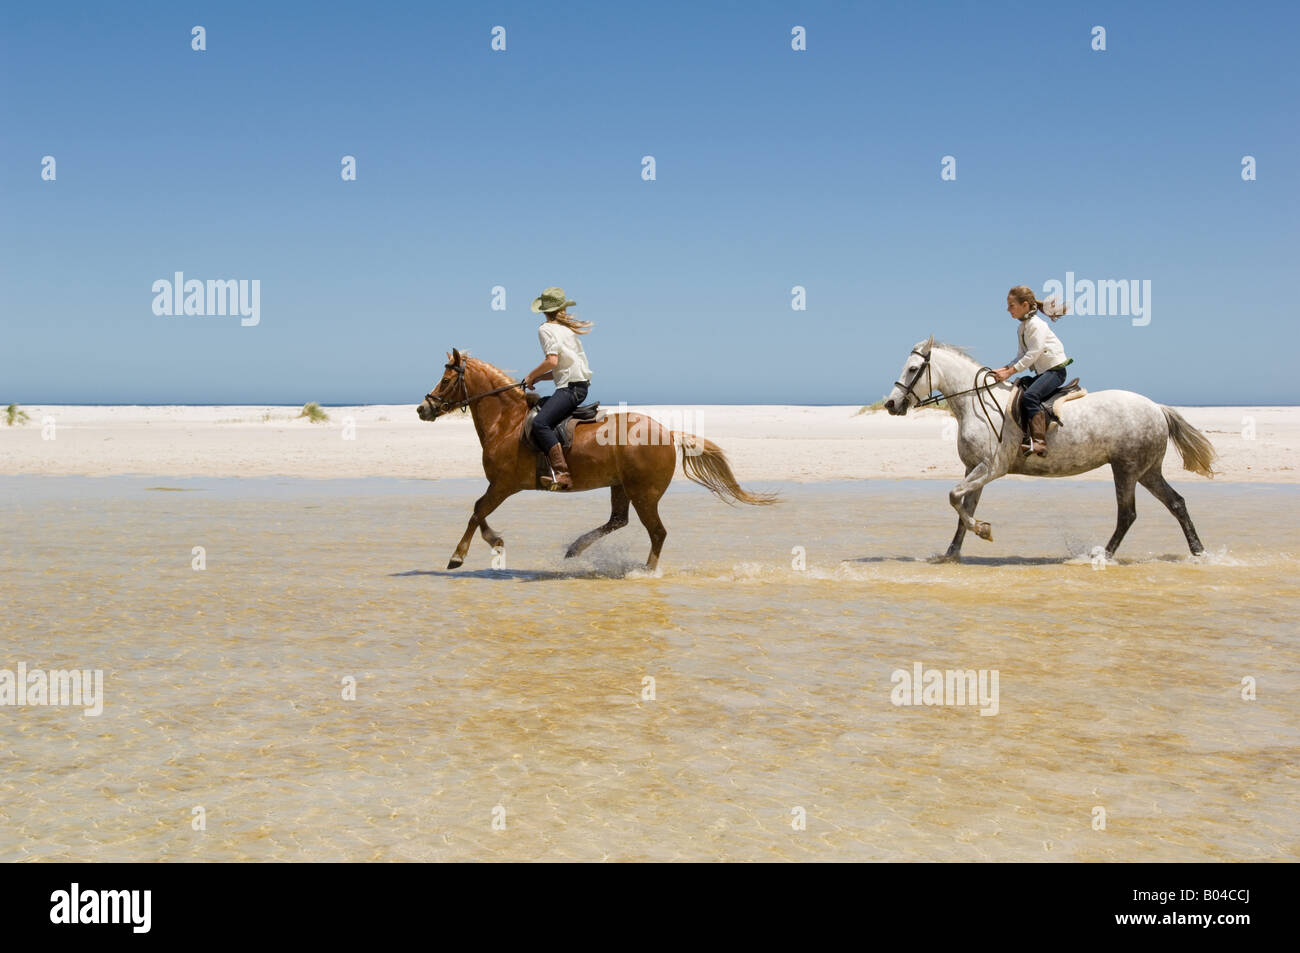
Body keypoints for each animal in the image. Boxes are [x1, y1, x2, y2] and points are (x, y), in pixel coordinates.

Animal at [417, 349, 776, 570]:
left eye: (446, 381)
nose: (423, 409)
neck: (508, 422)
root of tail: (669, 432)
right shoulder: (500, 485)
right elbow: (479, 511)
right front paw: (495, 540)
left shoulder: (504, 484)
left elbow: (477, 511)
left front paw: (458, 556)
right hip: (621, 486)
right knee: (618, 521)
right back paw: (575, 549)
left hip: (644, 494)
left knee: (657, 532)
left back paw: (646, 571)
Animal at [882, 338, 1217, 561]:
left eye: (913, 368)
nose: (891, 404)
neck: (976, 401)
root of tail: (1157, 408)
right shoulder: (974, 469)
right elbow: (963, 509)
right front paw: (952, 554)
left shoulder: (991, 468)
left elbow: (954, 497)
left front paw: (984, 531)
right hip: (1147, 471)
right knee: (1176, 503)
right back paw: (1199, 553)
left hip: (1126, 469)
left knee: (1127, 514)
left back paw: (1100, 556)